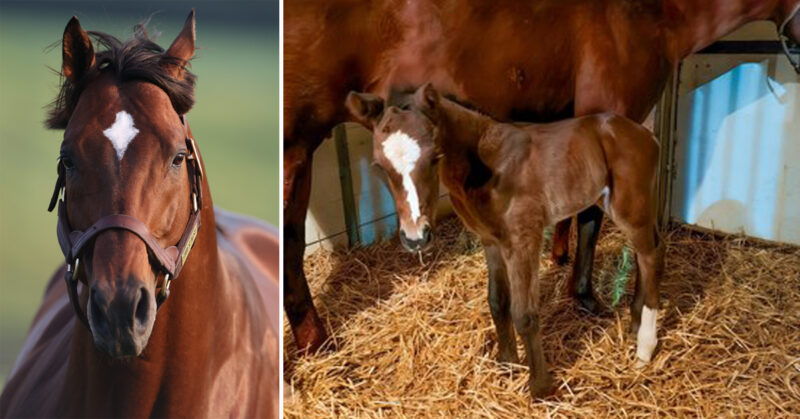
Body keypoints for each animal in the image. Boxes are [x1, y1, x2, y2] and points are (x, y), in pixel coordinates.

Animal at [284, 0, 800, 354]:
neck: (647, 13)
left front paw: (560, 257)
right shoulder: (608, 112)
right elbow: (591, 215)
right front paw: (587, 296)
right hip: (293, 153)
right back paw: (313, 342)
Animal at [346, 83, 664, 398]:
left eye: (434, 157)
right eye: (380, 167)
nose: (416, 237)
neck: (486, 163)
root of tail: (646, 134)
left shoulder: (523, 240)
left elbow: (524, 314)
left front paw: (540, 387)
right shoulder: (492, 241)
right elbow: (497, 302)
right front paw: (507, 363)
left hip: (631, 209)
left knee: (650, 257)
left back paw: (644, 349)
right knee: (647, 252)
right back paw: (635, 324)